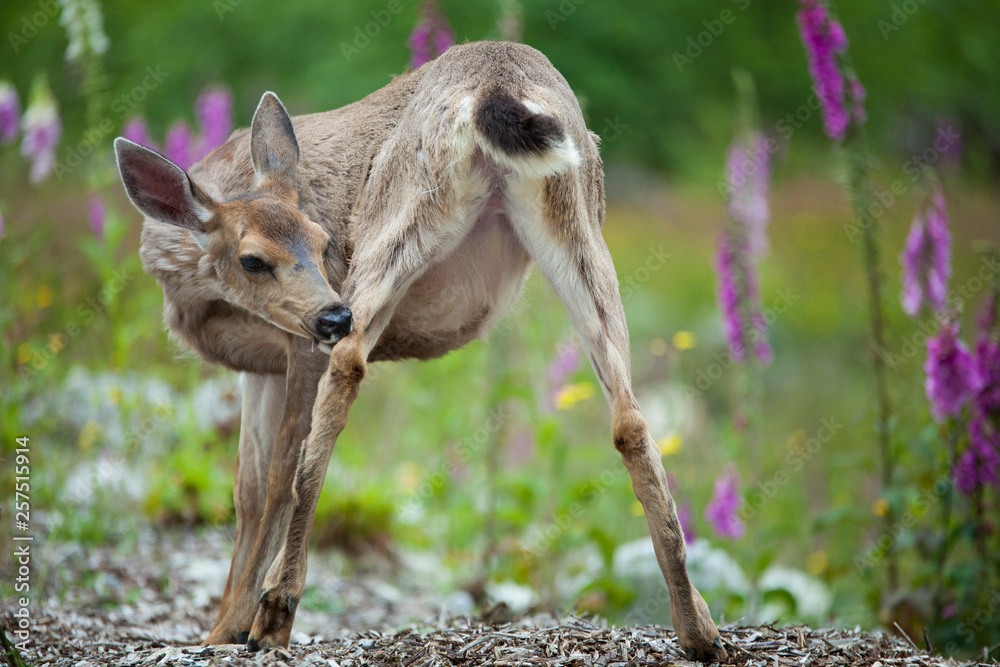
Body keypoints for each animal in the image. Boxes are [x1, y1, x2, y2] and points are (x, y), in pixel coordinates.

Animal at [113, 41, 726, 661]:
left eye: (323, 242)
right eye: (253, 261)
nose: (332, 314)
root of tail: (496, 84)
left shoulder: (297, 347)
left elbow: (278, 477)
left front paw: (227, 629)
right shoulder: (257, 367)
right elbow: (247, 488)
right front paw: (219, 628)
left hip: (399, 216)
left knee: (345, 373)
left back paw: (274, 612)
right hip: (577, 222)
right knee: (631, 418)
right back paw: (699, 629)